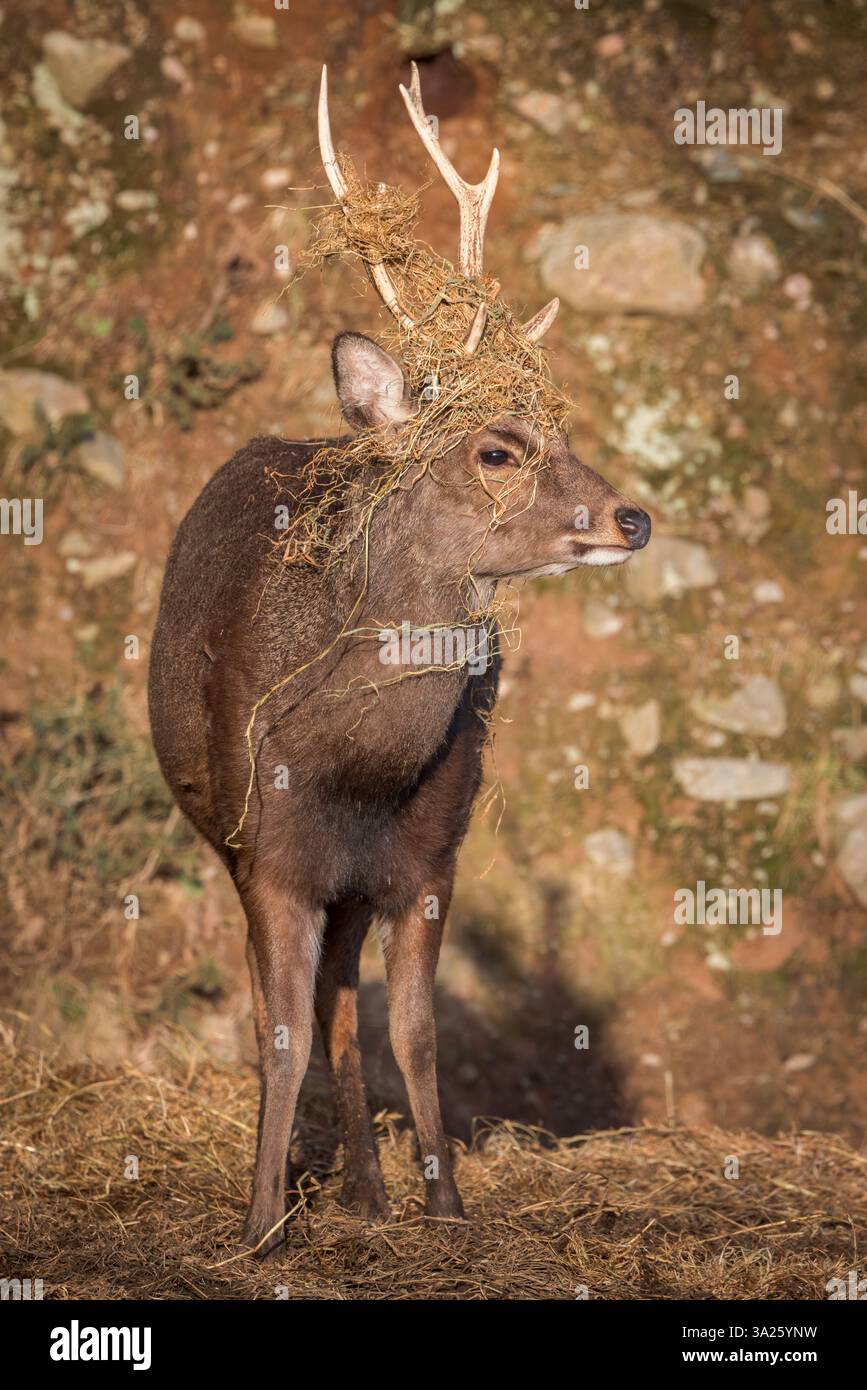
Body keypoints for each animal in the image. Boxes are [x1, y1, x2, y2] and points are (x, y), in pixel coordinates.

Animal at [148, 64, 651, 1260]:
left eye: (567, 432)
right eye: (498, 448)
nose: (634, 516)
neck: (357, 767)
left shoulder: (430, 855)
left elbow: (416, 1033)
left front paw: (444, 1205)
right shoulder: (272, 850)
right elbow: (279, 1031)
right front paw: (259, 1227)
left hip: (358, 885)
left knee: (342, 1005)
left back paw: (370, 1195)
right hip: (230, 841)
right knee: (291, 1008)